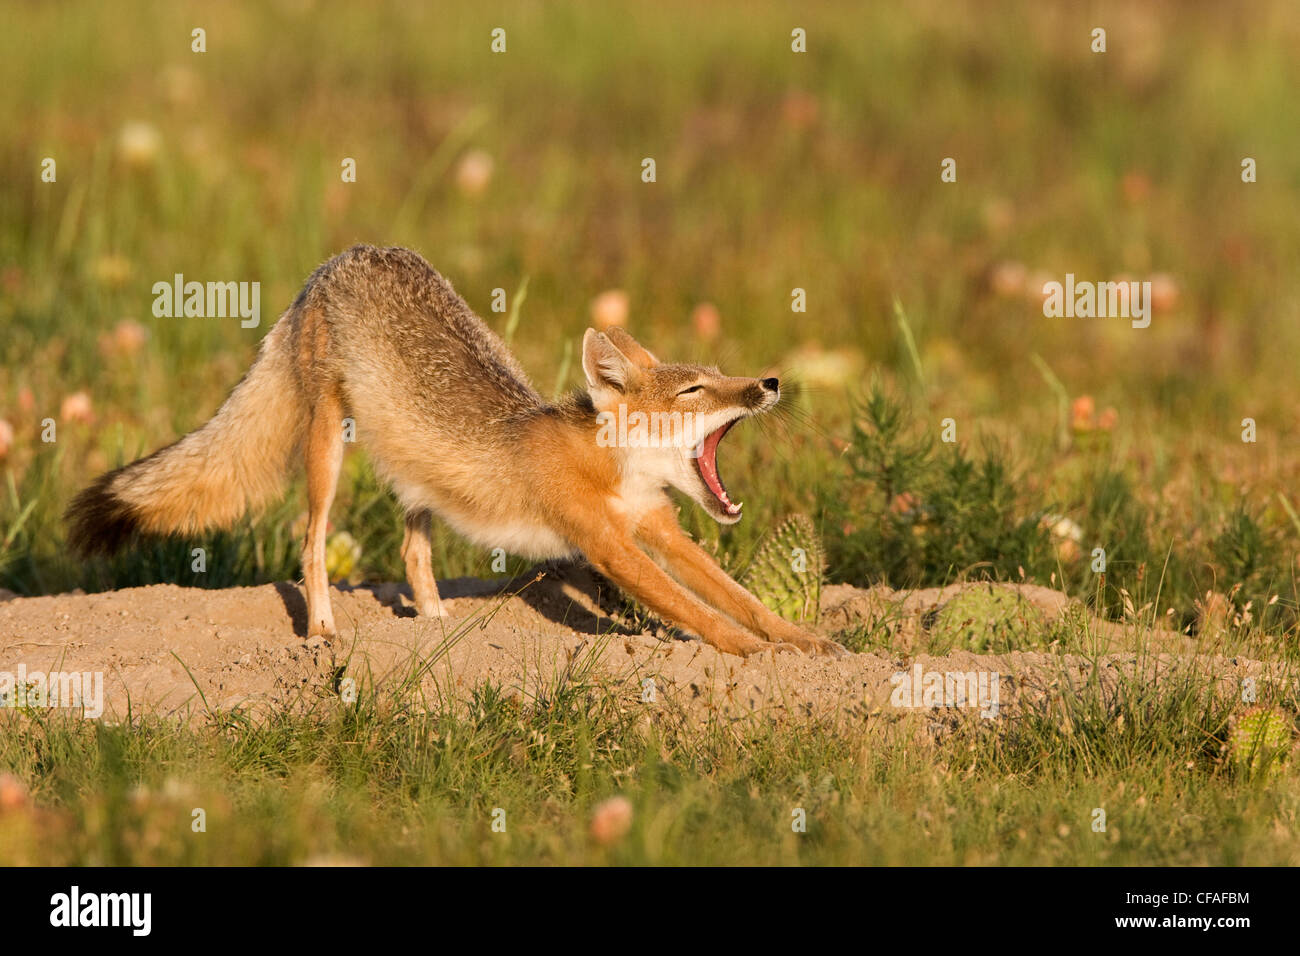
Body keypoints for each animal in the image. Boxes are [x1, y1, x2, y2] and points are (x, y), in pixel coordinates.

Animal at [66, 245, 846, 658]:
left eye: (720, 376)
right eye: (694, 391)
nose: (770, 383)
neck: (612, 472)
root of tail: (340, 259)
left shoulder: (660, 528)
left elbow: (741, 599)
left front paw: (807, 645)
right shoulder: (607, 542)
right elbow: (703, 614)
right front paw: (761, 658)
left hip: (416, 479)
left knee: (412, 549)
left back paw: (438, 622)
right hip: (327, 451)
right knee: (311, 543)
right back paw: (323, 630)